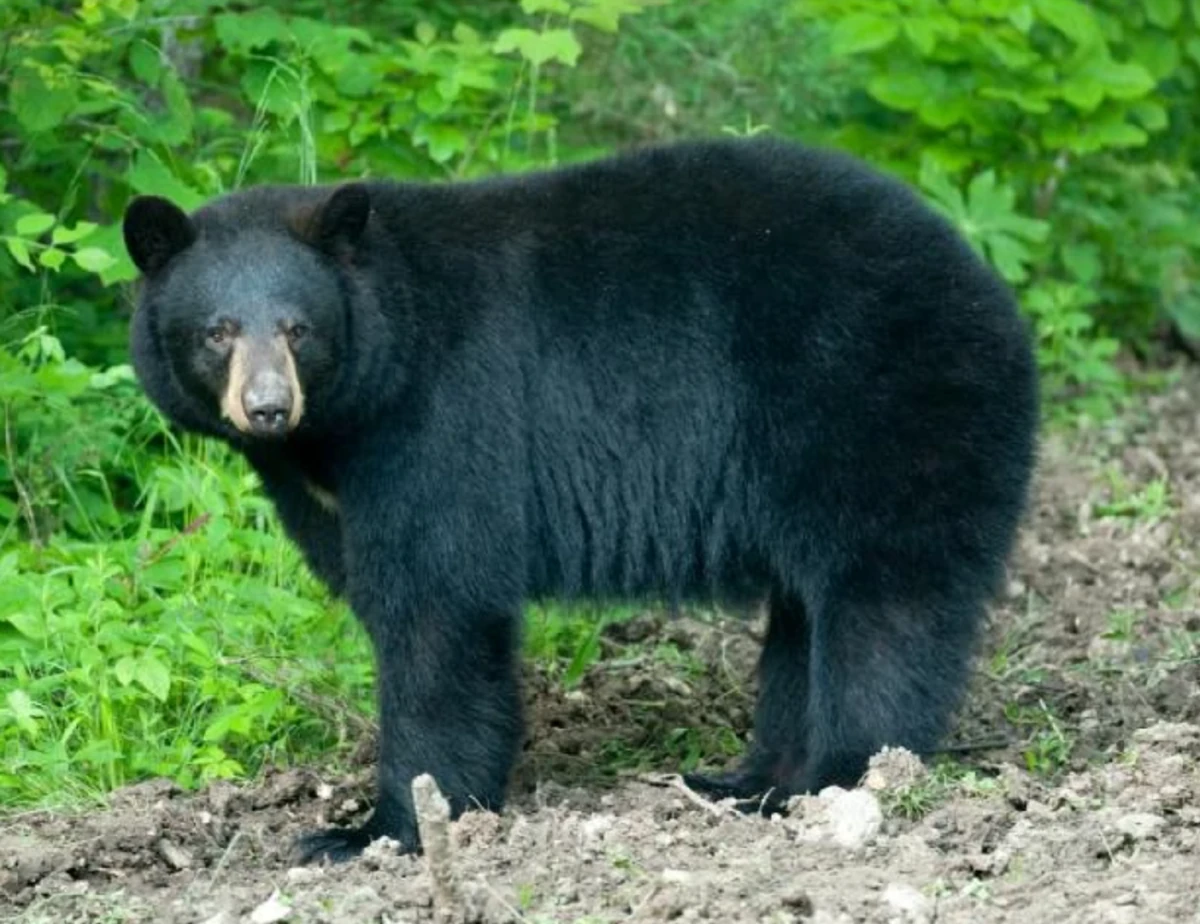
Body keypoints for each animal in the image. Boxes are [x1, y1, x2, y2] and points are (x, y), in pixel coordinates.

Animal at [122, 135, 1038, 863]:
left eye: (298, 328)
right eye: (218, 330)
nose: (269, 407)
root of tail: (987, 285)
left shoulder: (440, 425)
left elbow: (436, 612)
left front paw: (379, 829)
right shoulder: (332, 486)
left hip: (879, 410)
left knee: (884, 608)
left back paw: (844, 778)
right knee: (804, 617)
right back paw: (750, 782)